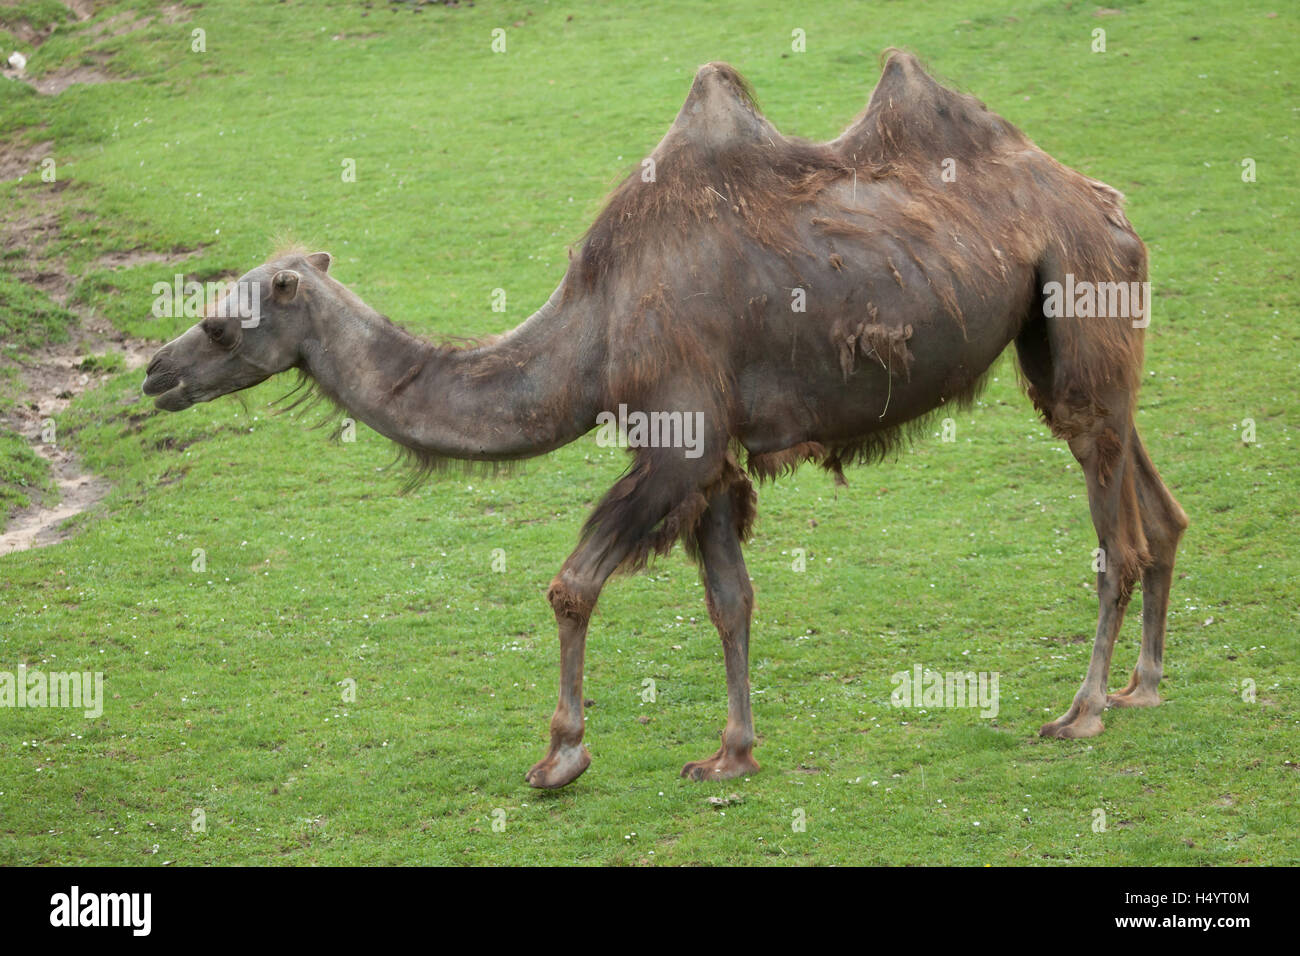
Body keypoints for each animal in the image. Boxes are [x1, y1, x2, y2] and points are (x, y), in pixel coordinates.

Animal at [142, 50, 1187, 789]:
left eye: (221, 322)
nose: (155, 374)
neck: (595, 329)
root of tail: (1109, 203)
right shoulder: (712, 457)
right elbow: (731, 598)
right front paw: (732, 752)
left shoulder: (677, 442)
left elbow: (571, 585)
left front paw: (561, 757)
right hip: (1070, 334)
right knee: (1153, 497)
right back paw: (1143, 687)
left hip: (1076, 290)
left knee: (1117, 538)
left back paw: (1082, 710)